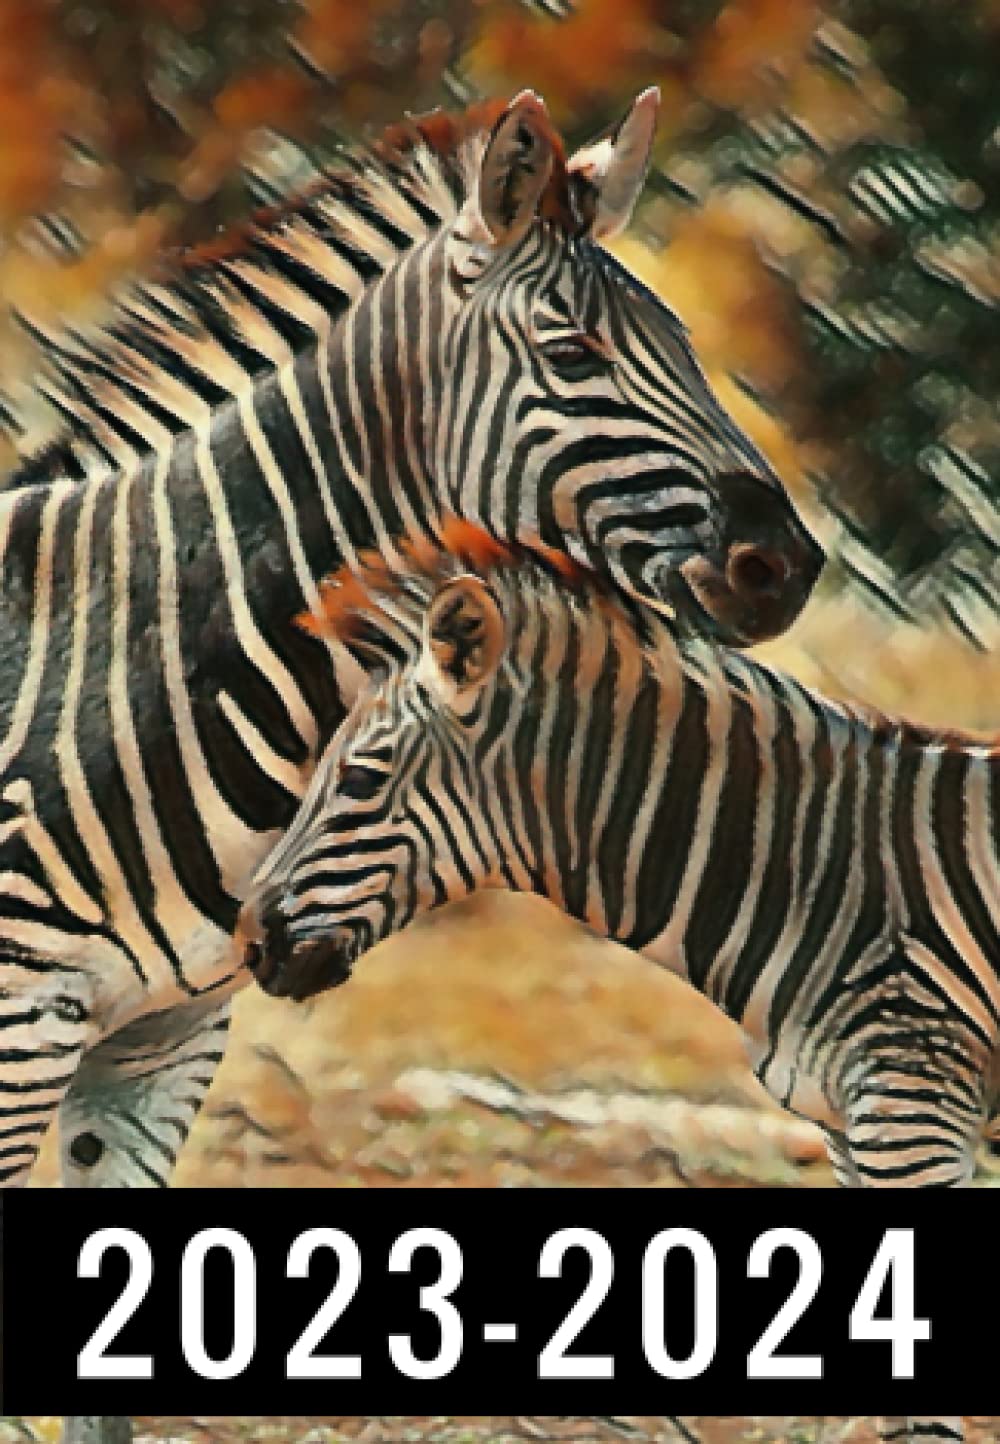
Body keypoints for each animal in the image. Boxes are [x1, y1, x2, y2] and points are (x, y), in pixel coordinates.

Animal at [0, 91, 822, 1188]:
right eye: (573, 355)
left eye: (687, 346)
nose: (788, 565)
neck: (145, 659)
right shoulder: (24, 1019)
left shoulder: (167, 1038)